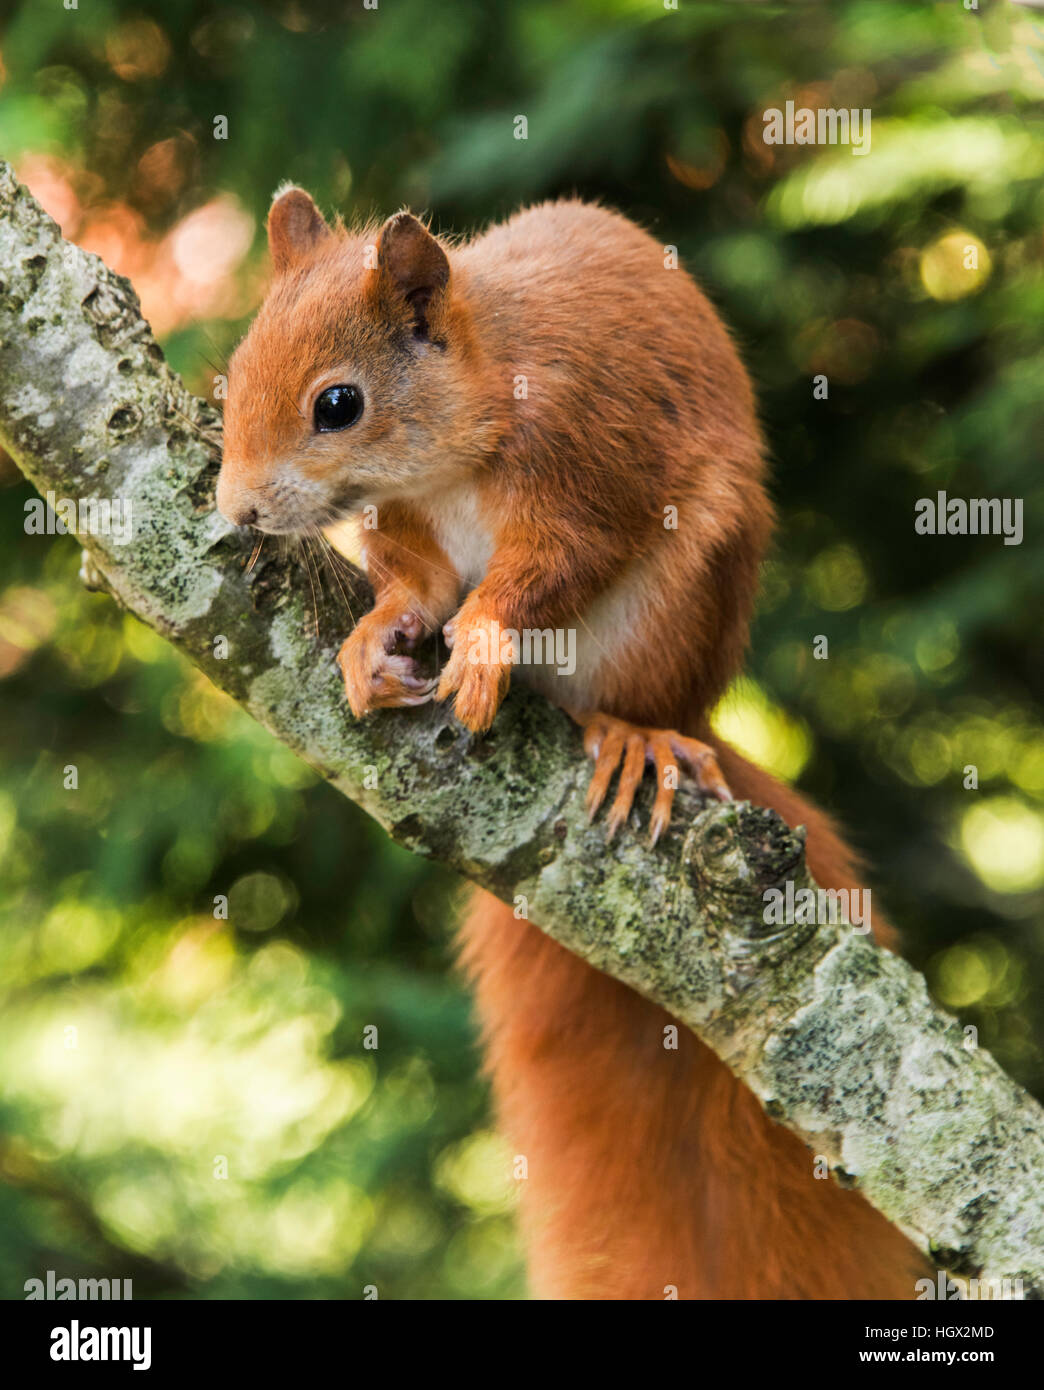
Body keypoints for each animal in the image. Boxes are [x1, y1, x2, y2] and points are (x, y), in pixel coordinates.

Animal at [216, 188, 929, 1299]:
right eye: (236, 367)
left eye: (338, 404)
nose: (236, 507)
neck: (468, 418)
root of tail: (700, 713)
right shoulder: (410, 524)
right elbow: (416, 580)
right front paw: (377, 639)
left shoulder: (586, 460)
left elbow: (554, 566)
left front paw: (482, 638)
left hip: (679, 606)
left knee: (639, 696)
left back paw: (632, 733)